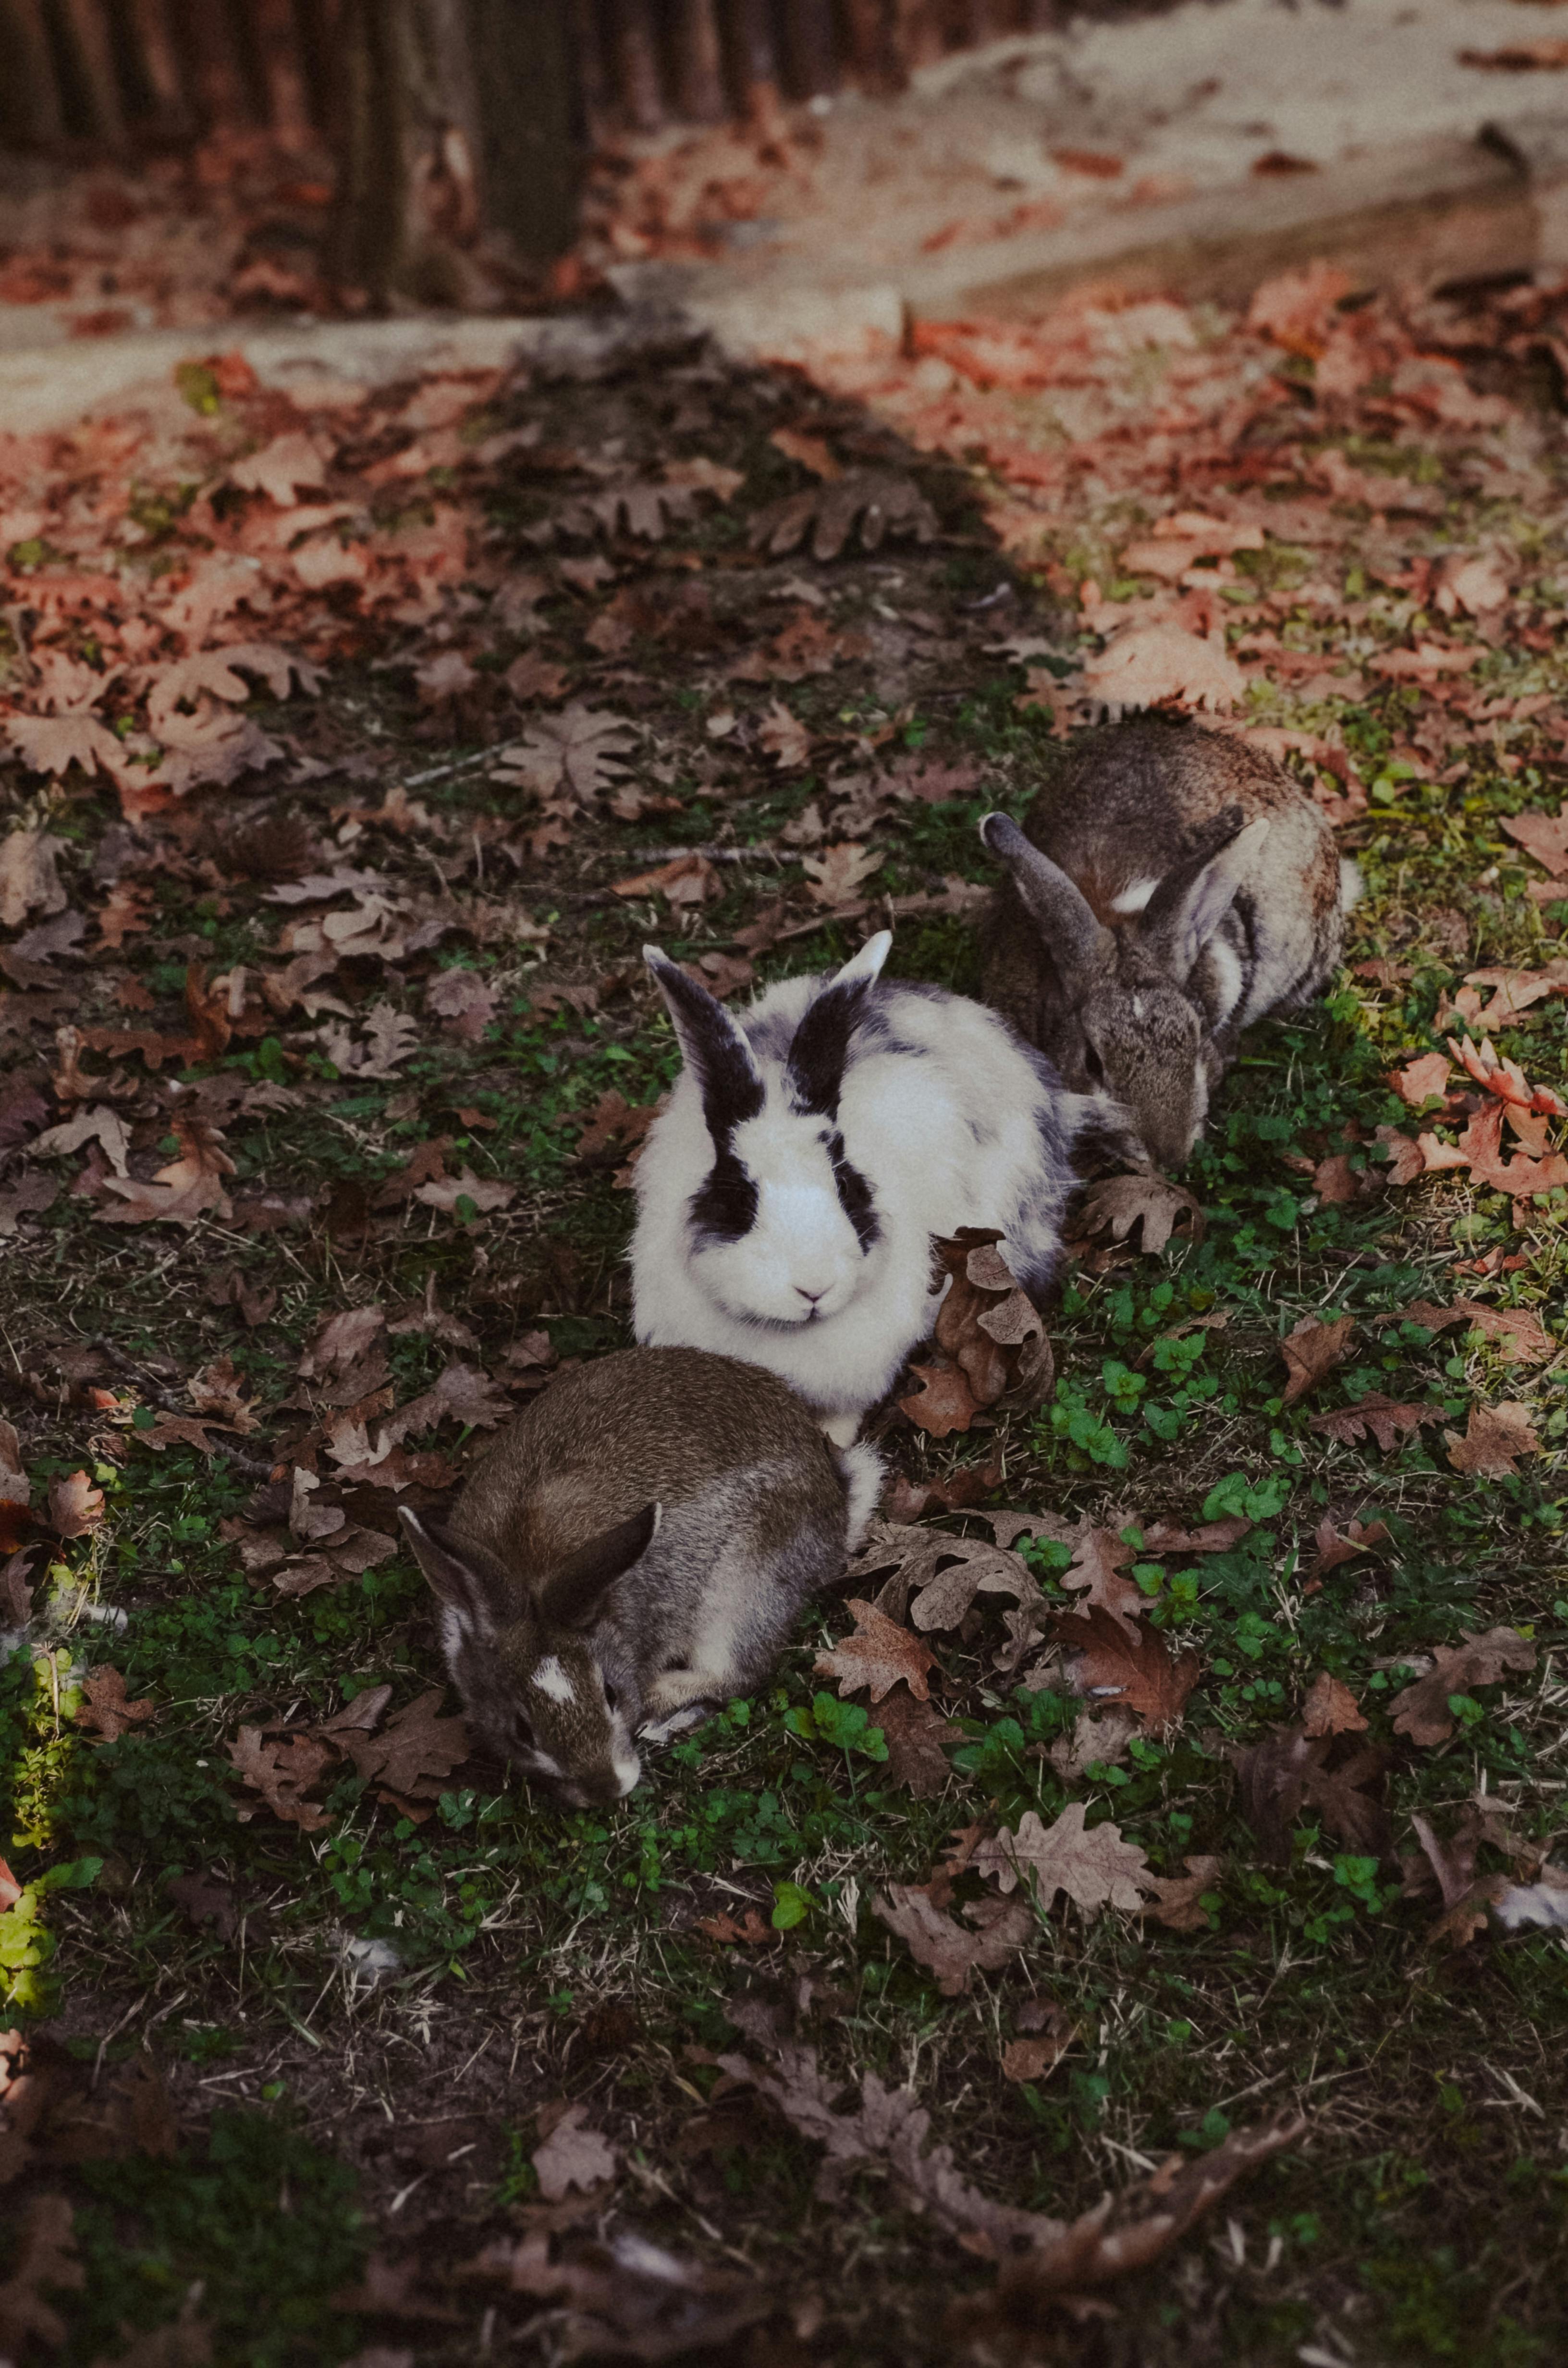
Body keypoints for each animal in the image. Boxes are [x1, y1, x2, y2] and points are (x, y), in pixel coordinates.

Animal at [398, 1346, 881, 1809]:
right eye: (522, 1730)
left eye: (611, 1695)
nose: (606, 1790)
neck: (530, 1567)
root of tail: (836, 1507)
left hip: (743, 1582)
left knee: (737, 1673)